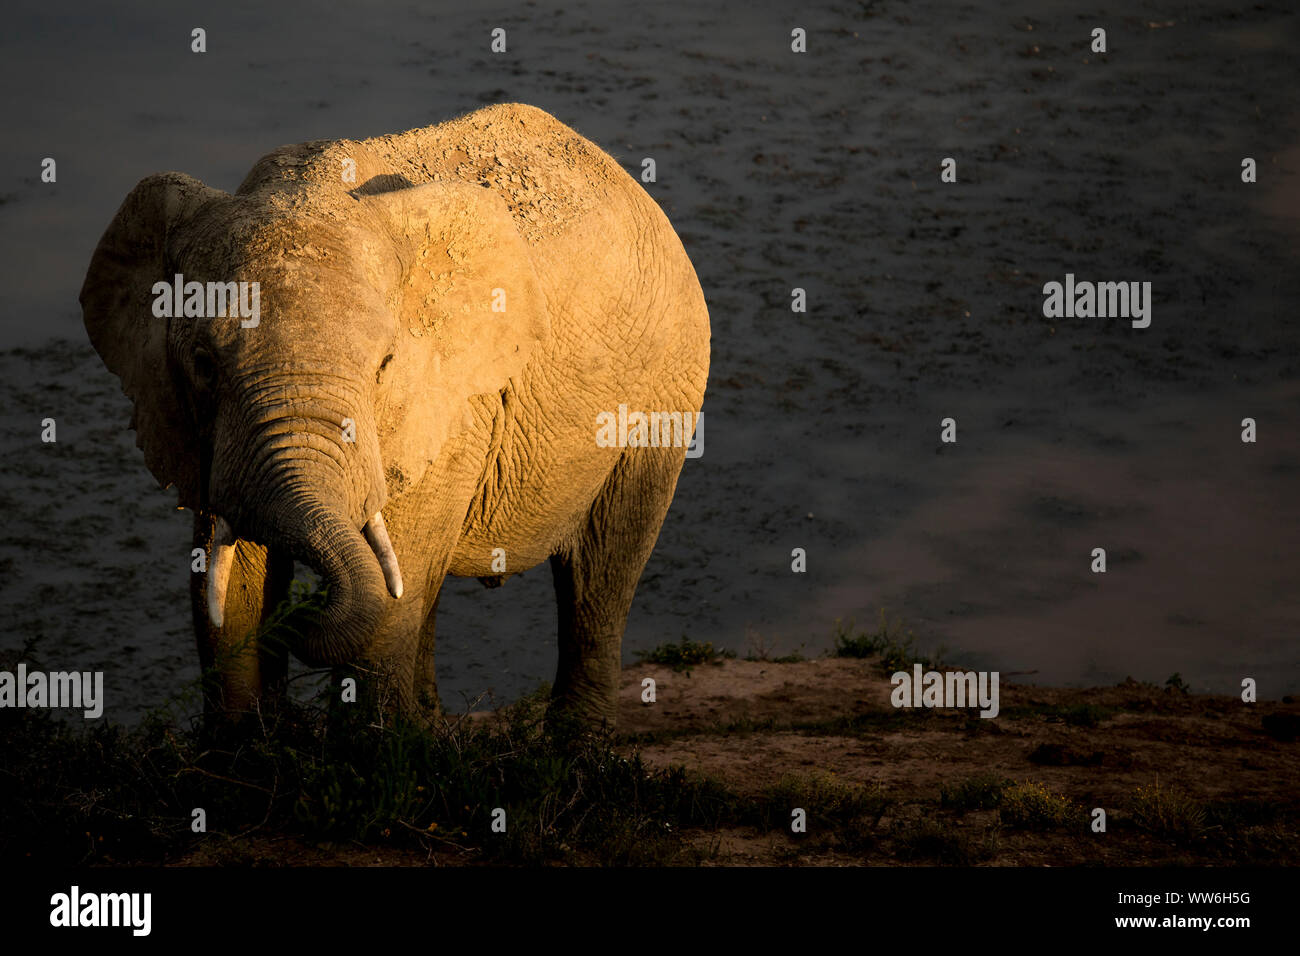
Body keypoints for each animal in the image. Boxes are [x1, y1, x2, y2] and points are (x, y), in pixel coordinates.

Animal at [80, 103, 710, 732]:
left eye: (383, 365)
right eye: (204, 365)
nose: (307, 612)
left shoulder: (453, 407)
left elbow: (386, 595)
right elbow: (229, 595)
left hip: (667, 381)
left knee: (603, 566)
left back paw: (576, 746)